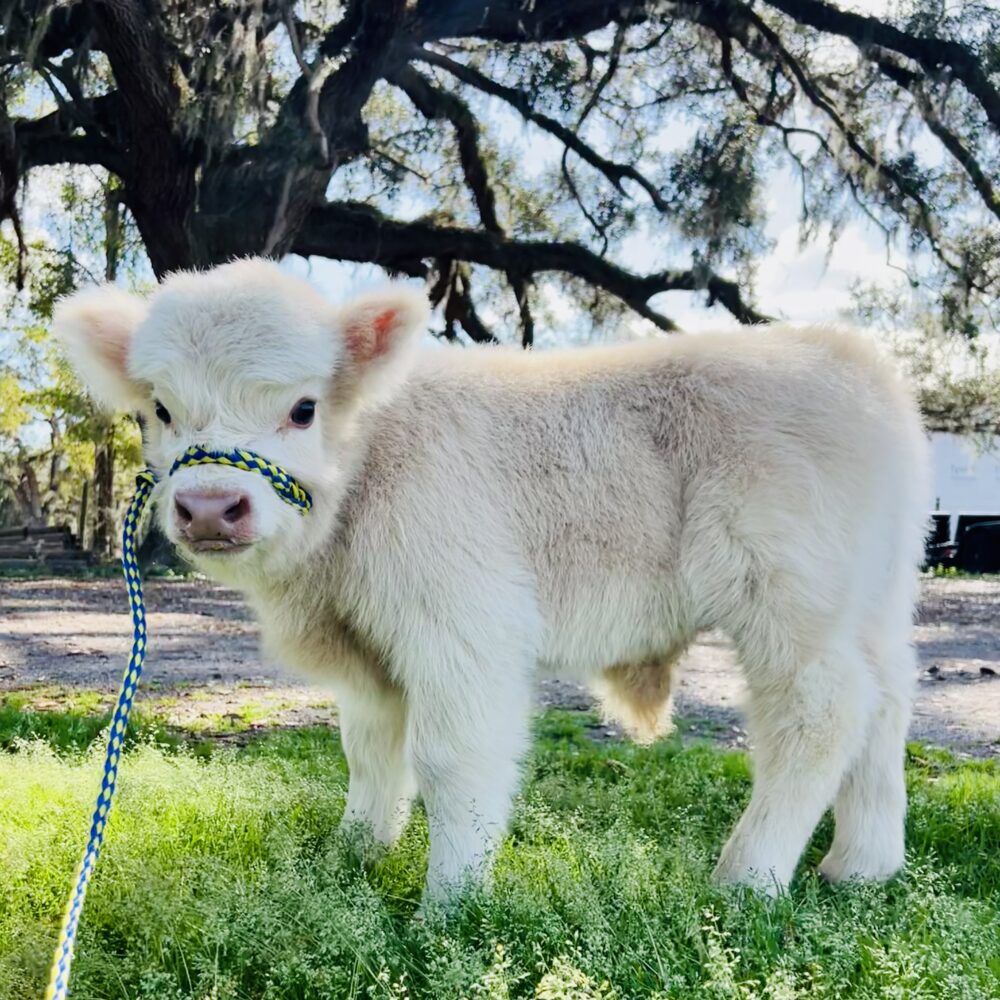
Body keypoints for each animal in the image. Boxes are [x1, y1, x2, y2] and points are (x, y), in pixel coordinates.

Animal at [54, 258, 929, 900]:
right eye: (159, 410)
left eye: (303, 408)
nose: (210, 507)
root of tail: (850, 358)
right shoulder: (370, 658)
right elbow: (369, 751)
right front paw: (354, 854)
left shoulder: (461, 628)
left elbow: (452, 759)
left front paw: (449, 902)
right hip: (873, 602)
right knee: (887, 707)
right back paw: (862, 866)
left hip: (790, 597)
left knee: (820, 714)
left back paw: (747, 879)